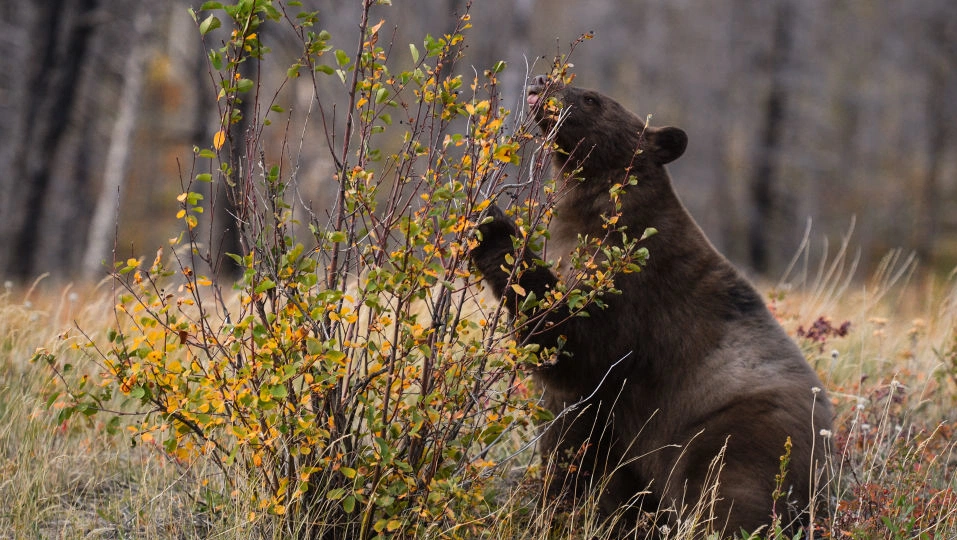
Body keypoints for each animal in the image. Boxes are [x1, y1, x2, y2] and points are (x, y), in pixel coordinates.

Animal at [468, 75, 833, 537]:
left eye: (592, 98)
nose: (540, 81)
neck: (595, 210)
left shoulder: (635, 287)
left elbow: (572, 344)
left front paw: (493, 225)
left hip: (733, 435)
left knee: (724, 494)